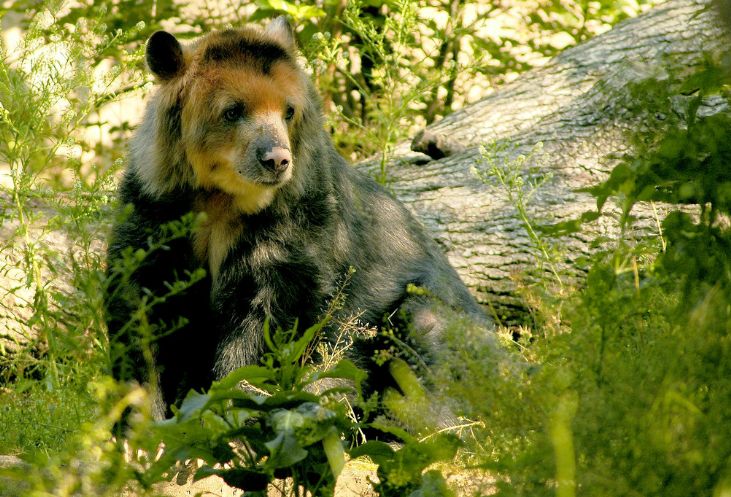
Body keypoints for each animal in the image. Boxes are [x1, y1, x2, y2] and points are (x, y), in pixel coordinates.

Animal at [105, 17, 491, 420]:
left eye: (288, 111)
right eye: (233, 110)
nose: (276, 160)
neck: (224, 201)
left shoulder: (295, 226)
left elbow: (267, 323)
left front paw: (234, 402)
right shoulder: (154, 210)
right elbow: (142, 310)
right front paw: (144, 415)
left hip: (432, 322)